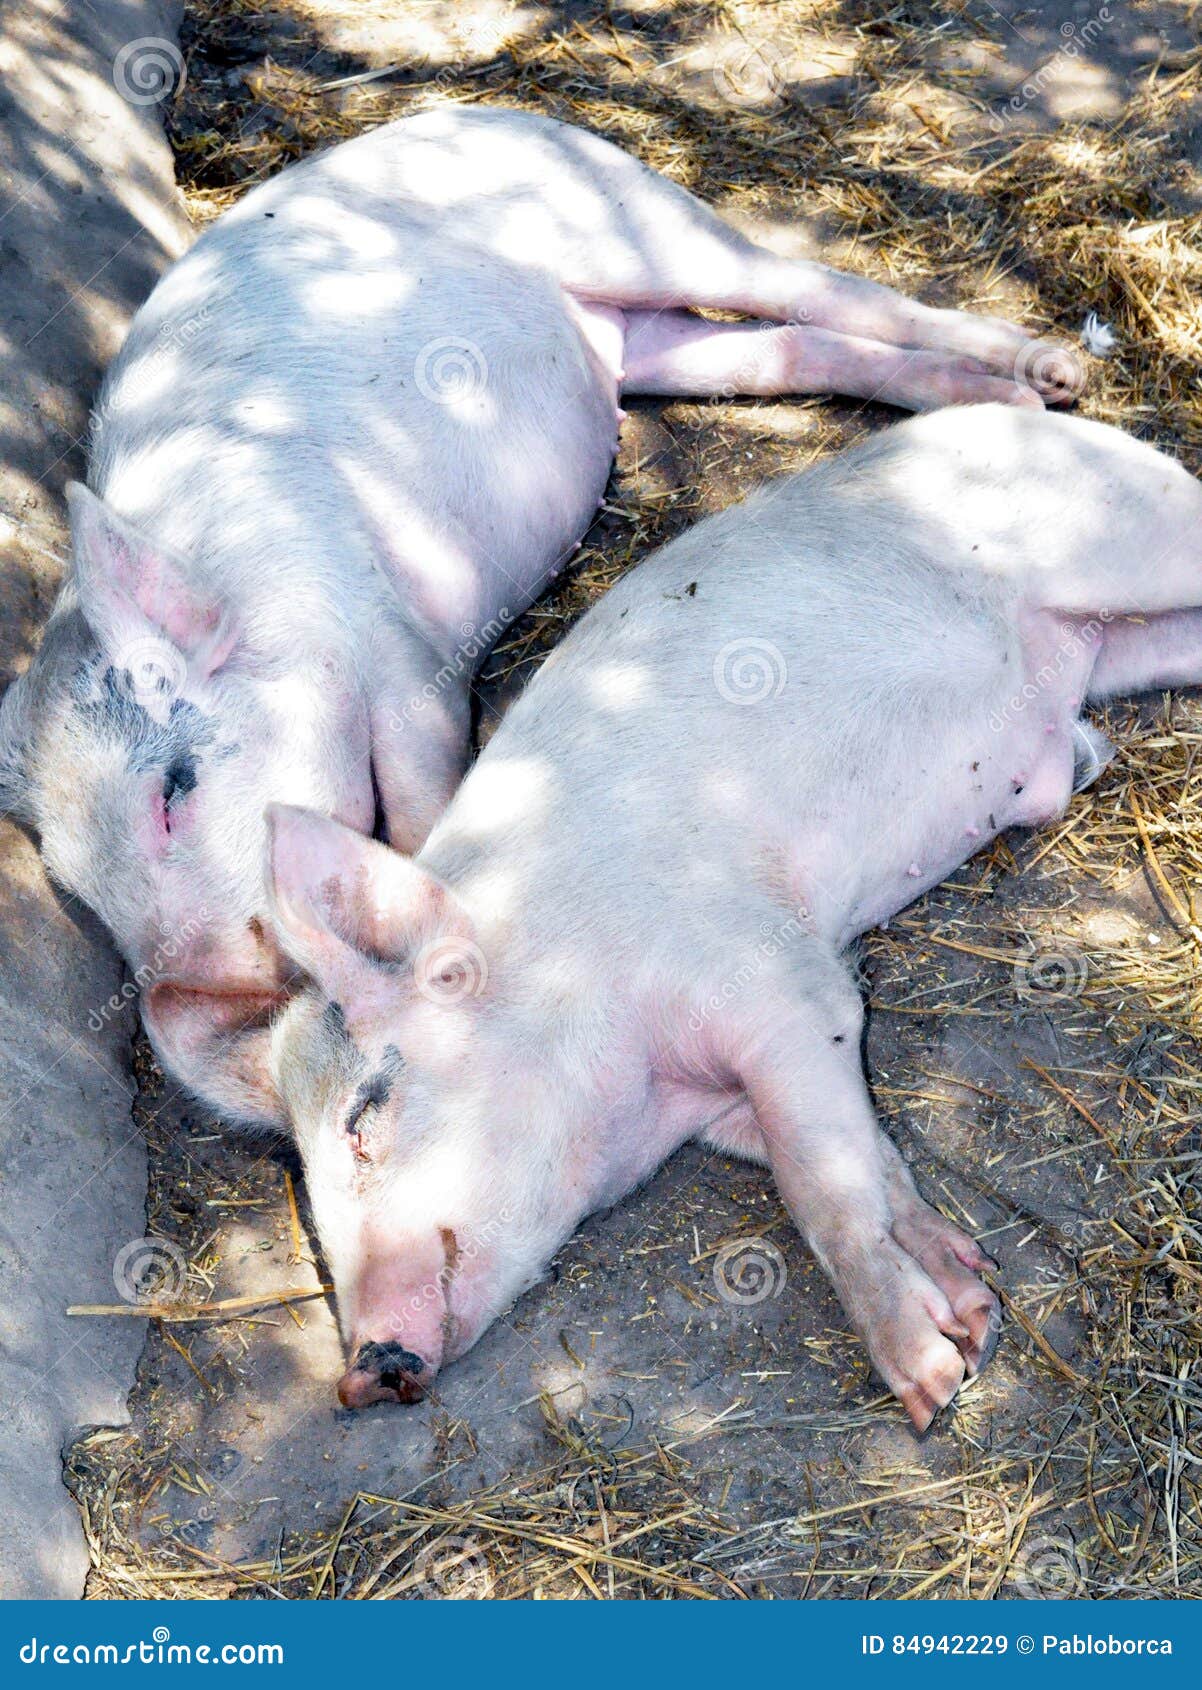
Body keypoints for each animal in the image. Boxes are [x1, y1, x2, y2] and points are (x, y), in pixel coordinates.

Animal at [0, 106, 1072, 1125]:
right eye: (80, 890)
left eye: (174, 790)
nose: (198, 998)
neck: (251, 576)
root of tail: (450, 114)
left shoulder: (399, 649)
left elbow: (425, 790)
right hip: (643, 338)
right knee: (772, 348)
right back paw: (1013, 394)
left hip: (629, 219)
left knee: (817, 285)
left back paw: (1050, 375)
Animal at [262, 402, 1202, 1429]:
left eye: (365, 1111)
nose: (358, 1375)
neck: (647, 1080)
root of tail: (1053, 424)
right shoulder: (738, 1100)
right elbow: (868, 1162)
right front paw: (970, 1302)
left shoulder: (779, 983)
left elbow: (819, 1183)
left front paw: (931, 1386)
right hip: (1129, 645)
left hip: (1126, 538)